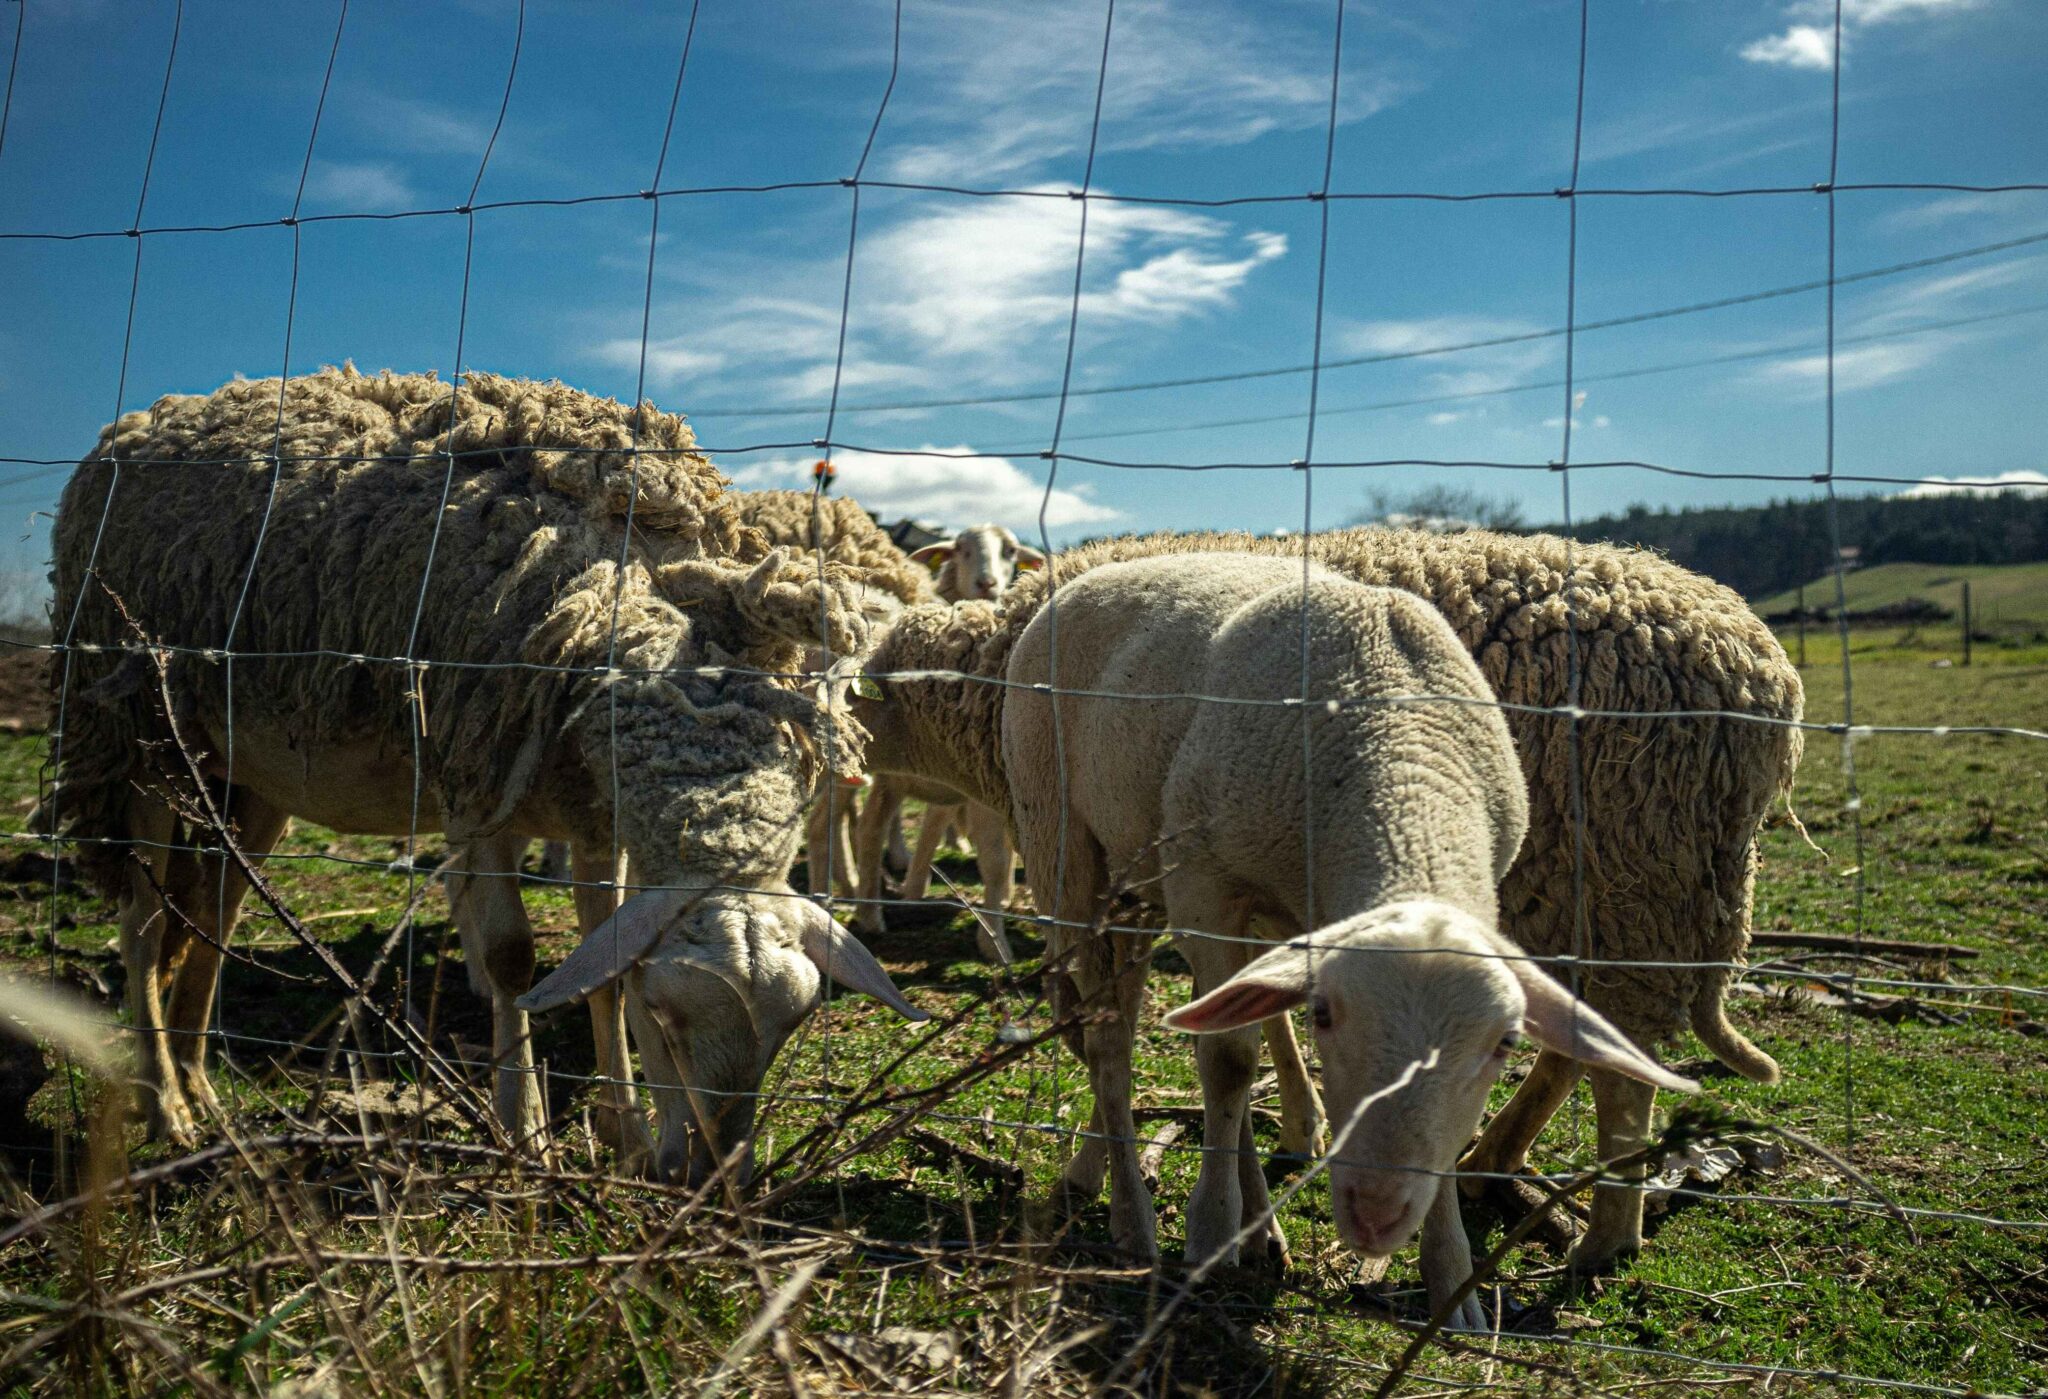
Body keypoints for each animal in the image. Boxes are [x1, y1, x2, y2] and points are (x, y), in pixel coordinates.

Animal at [47, 366, 923, 1182]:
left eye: (793, 1022)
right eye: (664, 1013)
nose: (710, 1179)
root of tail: (147, 415)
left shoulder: (593, 808)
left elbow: (598, 960)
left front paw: (626, 1134)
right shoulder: (474, 779)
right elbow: (512, 958)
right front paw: (526, 1131)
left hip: (249, 777)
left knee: (214, 914)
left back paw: (200, 1086)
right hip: (136, 732)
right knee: (143, 922)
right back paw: (165, 1104)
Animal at [854, 525, 1800, 1269]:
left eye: (869, 689)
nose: (844, 758)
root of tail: (1768, 681)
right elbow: (1247, 1029)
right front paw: (1280, 1148)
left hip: (1633, 880)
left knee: (1619, 1073)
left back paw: (1601, 1232)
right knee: (1583, 1043)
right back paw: (1500, 1164)